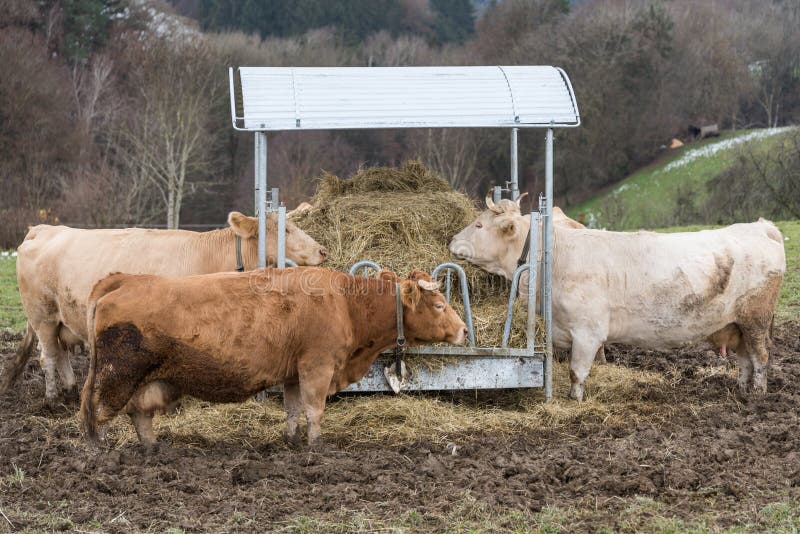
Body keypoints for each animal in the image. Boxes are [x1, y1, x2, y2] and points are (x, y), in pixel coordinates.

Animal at [2, 212, 329, 406]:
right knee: (47, 356)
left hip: (61, 319)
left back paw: (71, 391)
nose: (323, 250)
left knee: (60, 354)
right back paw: (52, 398)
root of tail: (43, 229)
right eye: (287, 229)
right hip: (42, 314)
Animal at [80, 267, 468, 450]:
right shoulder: (317, 366)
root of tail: (127, 279)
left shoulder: (294, 373)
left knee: (139, 413)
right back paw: (102, 452)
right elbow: (314, 409)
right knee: (98, 411)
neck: (346, 303)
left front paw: (292, 441)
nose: (464, 329)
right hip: (117, 374)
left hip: (147, 378)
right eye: (439, 305)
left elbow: (293, 409)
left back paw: (154, 448)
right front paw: (316, 446)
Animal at [450, 199, 785, 401]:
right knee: (745, 358)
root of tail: (760, 226)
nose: (451, 241)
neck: (553, 256)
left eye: (479, 225)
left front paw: (574, 399)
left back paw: (757, 393)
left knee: (760, 356)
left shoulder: (588, 332)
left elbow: (576, 371)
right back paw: (742, 388)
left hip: (756, 318)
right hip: (737, 323)